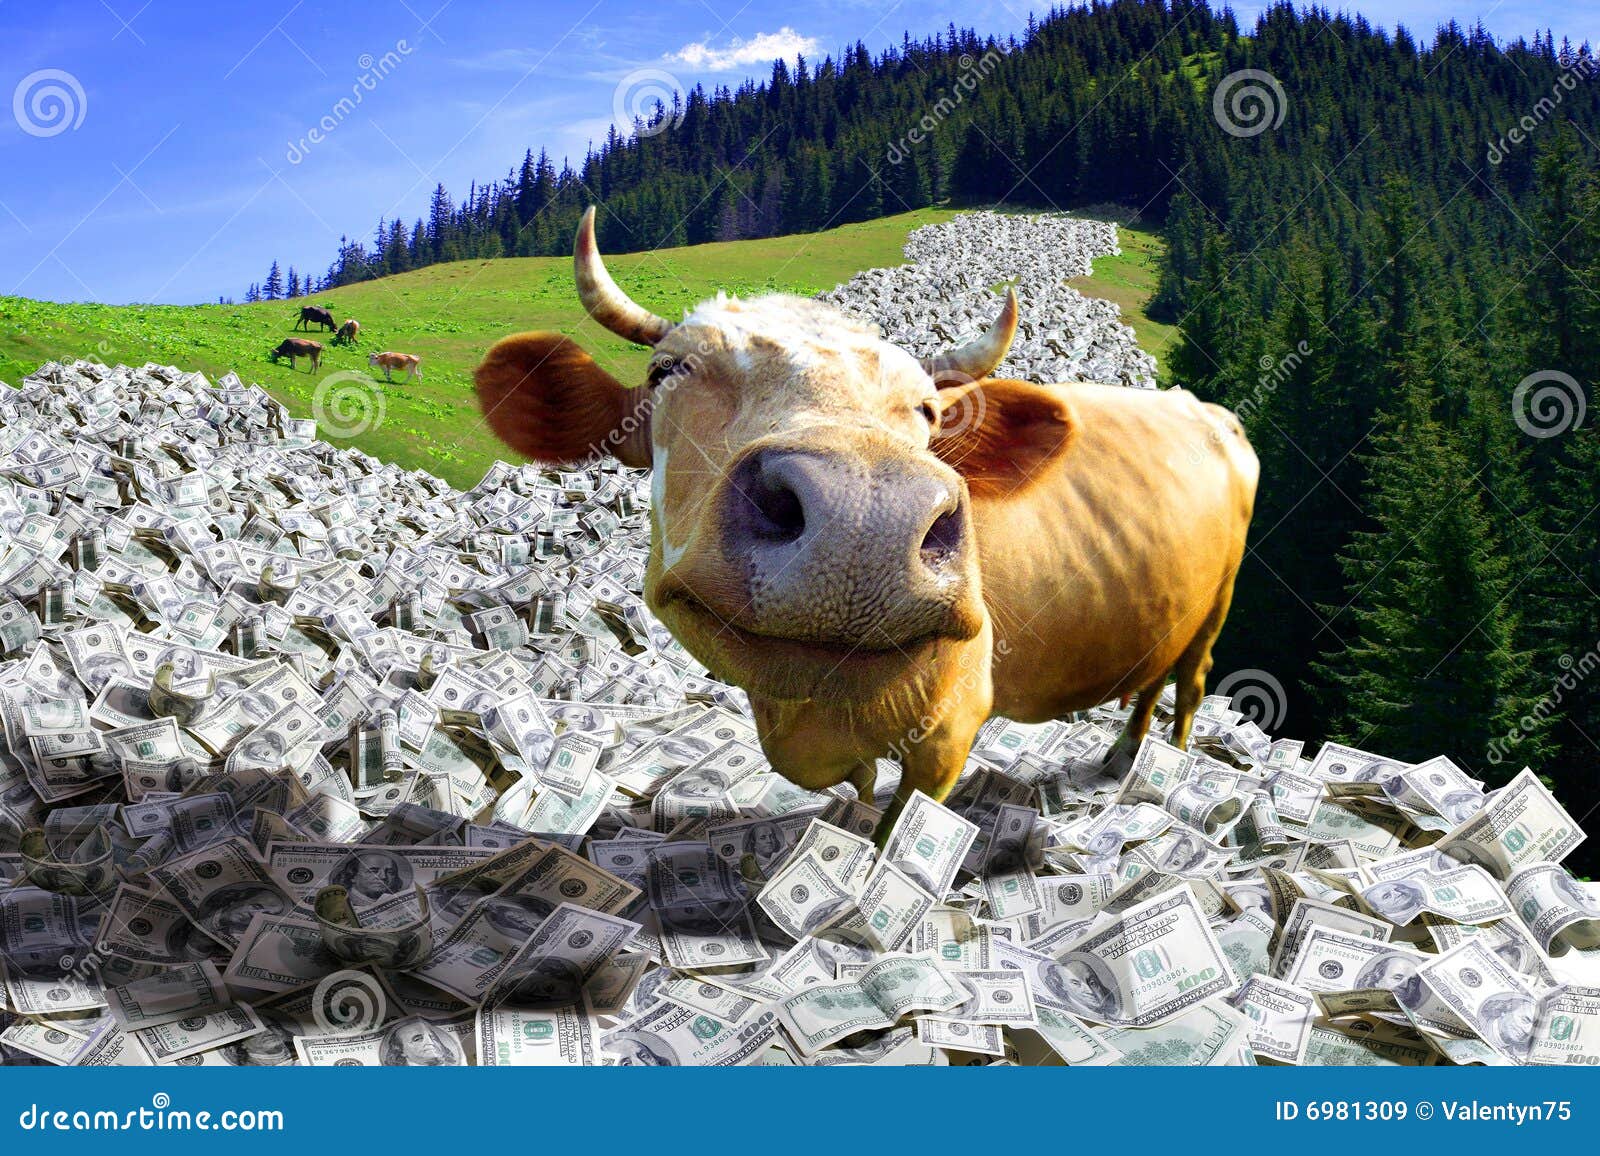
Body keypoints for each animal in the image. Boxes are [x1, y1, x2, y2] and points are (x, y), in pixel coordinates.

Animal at [475, 208, 1258, 839]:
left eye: (929, 410)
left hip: (1219, 607)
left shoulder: (950, 734)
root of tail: (1206, 409)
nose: (862, 522)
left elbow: (894, 832)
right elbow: (857, 786)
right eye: (668, 370)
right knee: (1151, 677)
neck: (805, 713)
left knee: (1189, 682)